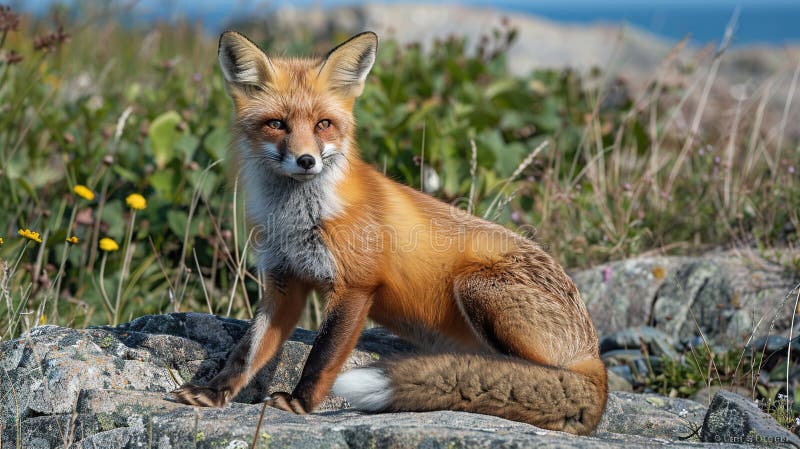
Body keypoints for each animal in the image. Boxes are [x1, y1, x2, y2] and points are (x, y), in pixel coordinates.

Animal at [172, 30, 608, 435]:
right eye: (276, 124)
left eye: (323, 124)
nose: (306, 160)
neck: (299, 219)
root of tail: (595, 354)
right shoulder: (285, 283)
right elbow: (247, 351)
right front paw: (213, 391)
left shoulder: (355, 285)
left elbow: (322, 355)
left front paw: (300, 403)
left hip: (476, 286)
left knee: (536, 376)